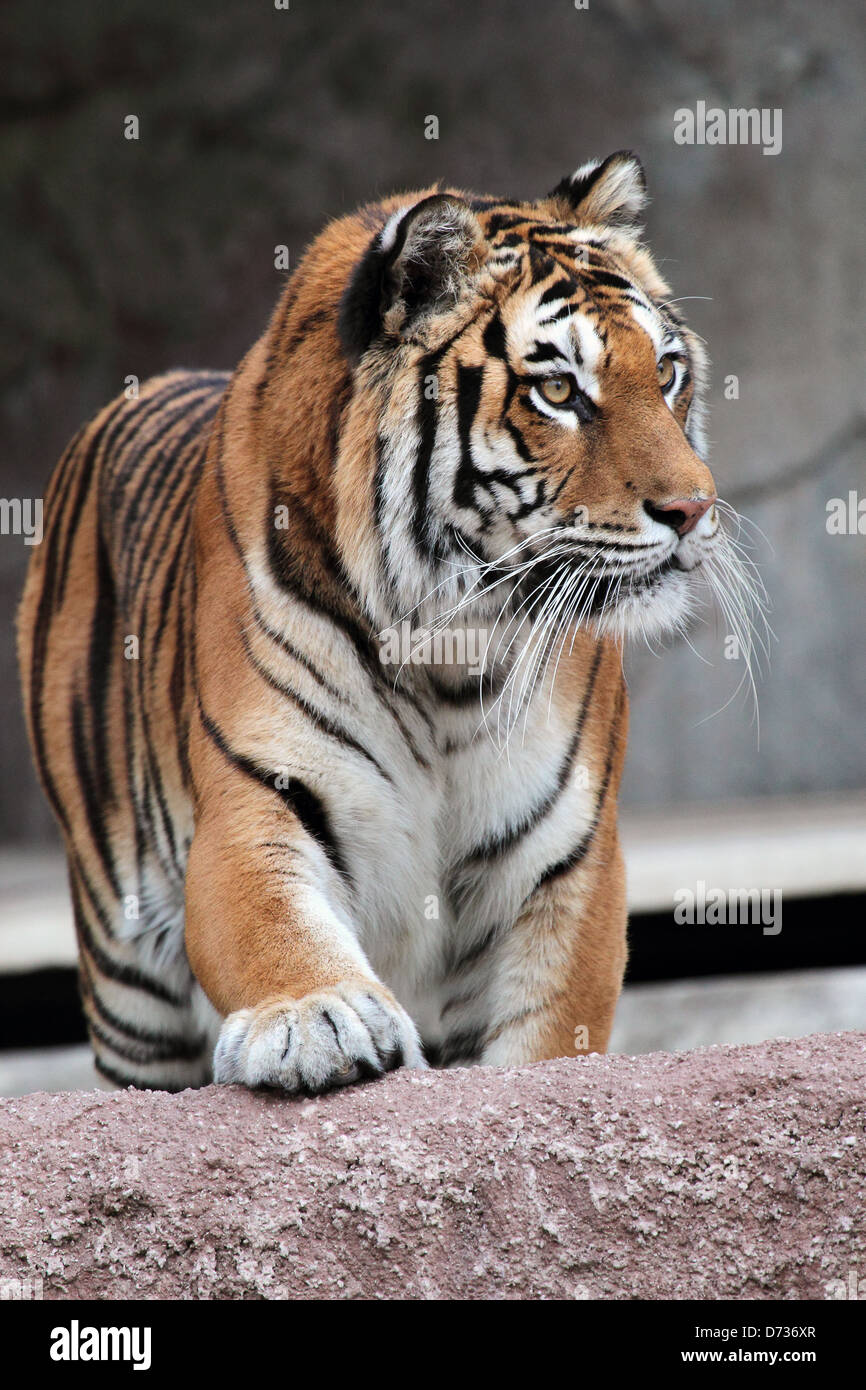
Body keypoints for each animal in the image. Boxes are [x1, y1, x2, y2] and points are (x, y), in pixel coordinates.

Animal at [18, 151, 752, 1095]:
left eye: (665, 373)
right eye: (558, 390)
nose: (695, 509)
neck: (453, 642)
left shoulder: (562, 857)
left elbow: (547, 1034)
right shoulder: (256, 796)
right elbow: (271, 924)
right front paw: (317, 1020)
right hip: (125, 974)